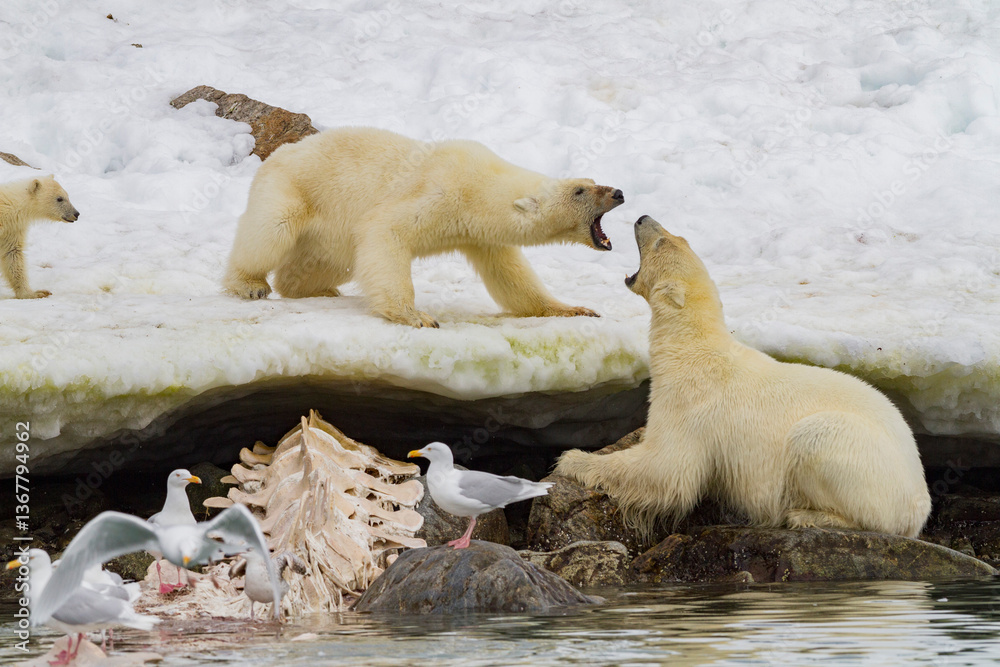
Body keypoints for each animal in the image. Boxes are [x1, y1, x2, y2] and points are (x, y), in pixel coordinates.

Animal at [222, 127, 624, 328]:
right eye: (579, 190)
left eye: (590, 180)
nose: (618, 192)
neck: (480, 186)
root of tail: (276, 154)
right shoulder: (439, 193)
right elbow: (384, 231)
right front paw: (417, 316)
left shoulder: (480, 234)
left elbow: (510, 275)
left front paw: (574, 309)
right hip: (293, 190)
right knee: (271, 230)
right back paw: (249, 284)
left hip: (328, 235)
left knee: (326, 263)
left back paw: (319, 290)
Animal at [555, 215, 932, 538]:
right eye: (680, 237)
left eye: (662, 241)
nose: (643, 218)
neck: (692, 345)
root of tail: (920, 502)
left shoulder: (691, 405)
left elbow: (667, 470)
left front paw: (572, 458)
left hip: (859, 462)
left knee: (817, 445)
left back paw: (805, 515)